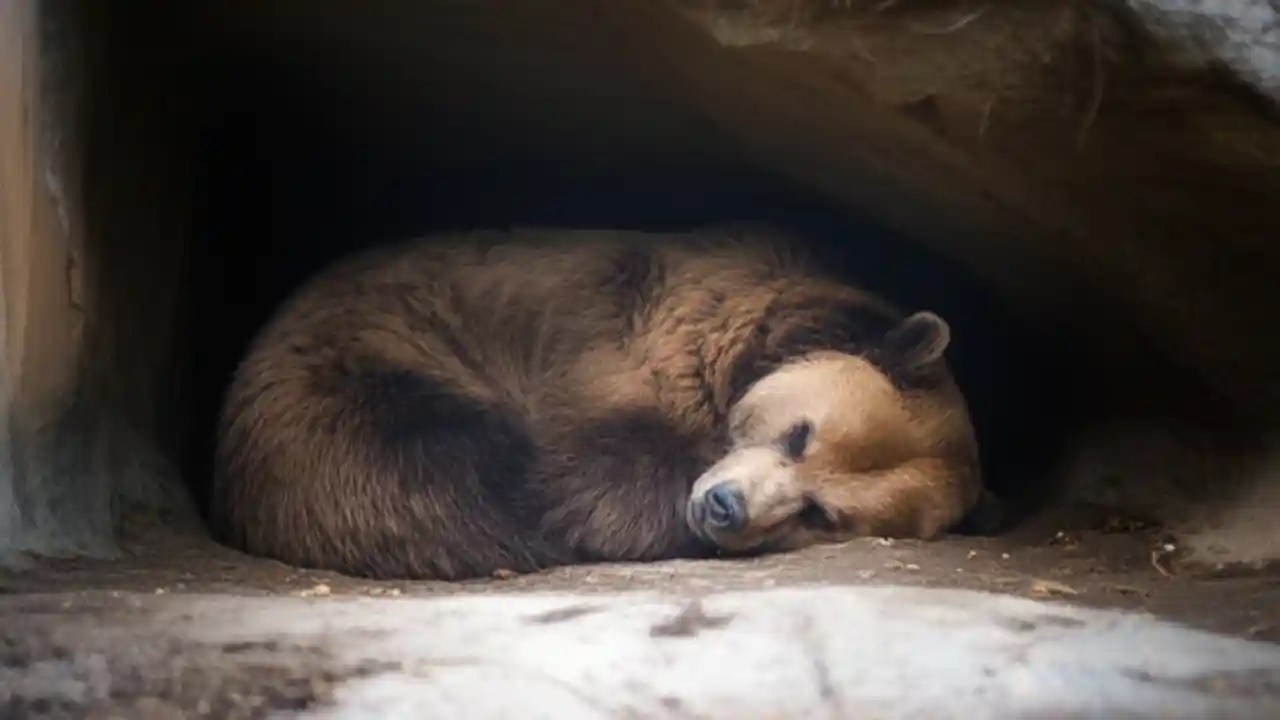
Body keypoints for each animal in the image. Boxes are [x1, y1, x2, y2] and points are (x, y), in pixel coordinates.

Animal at [210, 226, 985, 580]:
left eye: (820, 513)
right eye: (800, 432)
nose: (724, 507)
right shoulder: (626, 340)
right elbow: (590, 477)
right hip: (360, 372)